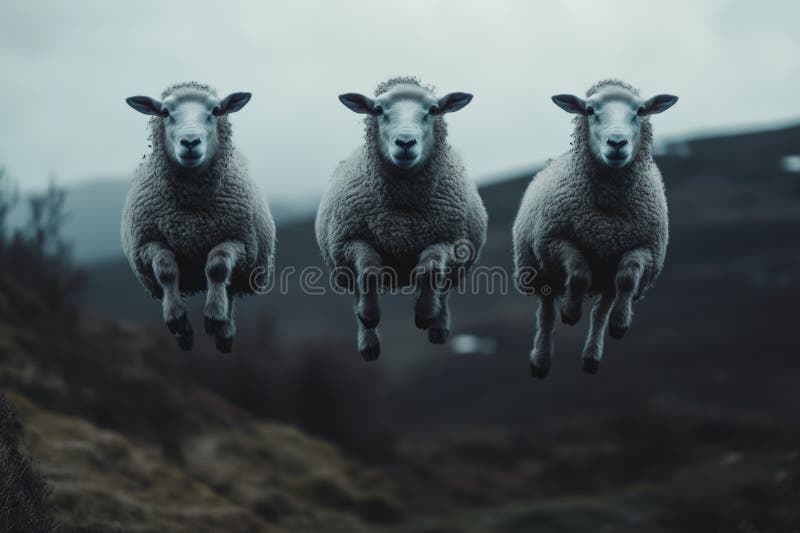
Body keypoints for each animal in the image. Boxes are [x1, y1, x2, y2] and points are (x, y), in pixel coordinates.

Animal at [122, 82, 275, 353]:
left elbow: (217, 267)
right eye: (164, 112)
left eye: (216, 110)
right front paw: (178, 321)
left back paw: (225, 332)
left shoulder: (239, 240)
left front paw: (215, 317)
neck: (191, 218)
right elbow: (166, 270)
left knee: (230, 288)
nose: (191, 142)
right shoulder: (147, 243)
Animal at [315, 76, 487, 361]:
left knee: (444, 287)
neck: (403, 214)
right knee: (358, 291)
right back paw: (368, 342)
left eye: (433, 110)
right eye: (377, 110)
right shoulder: (349, 240)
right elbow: (369, 270)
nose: (405, 142)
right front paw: (369, 316)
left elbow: (430, 268)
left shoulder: (450, 239)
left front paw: (425, 313)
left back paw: (438, 326)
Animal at [512, 79, 677, 377]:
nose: (617, 143)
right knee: (546, 314)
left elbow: (628, 277)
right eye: (589, 110)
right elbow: (578, 273)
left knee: (601, 310)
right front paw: (570, 312)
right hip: (541, 271)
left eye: (640, 111)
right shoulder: (554, 240)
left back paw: (592, 356)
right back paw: (541, 361)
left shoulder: (645, 247)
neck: (607, 212)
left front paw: (620, 324)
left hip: (606, 274)